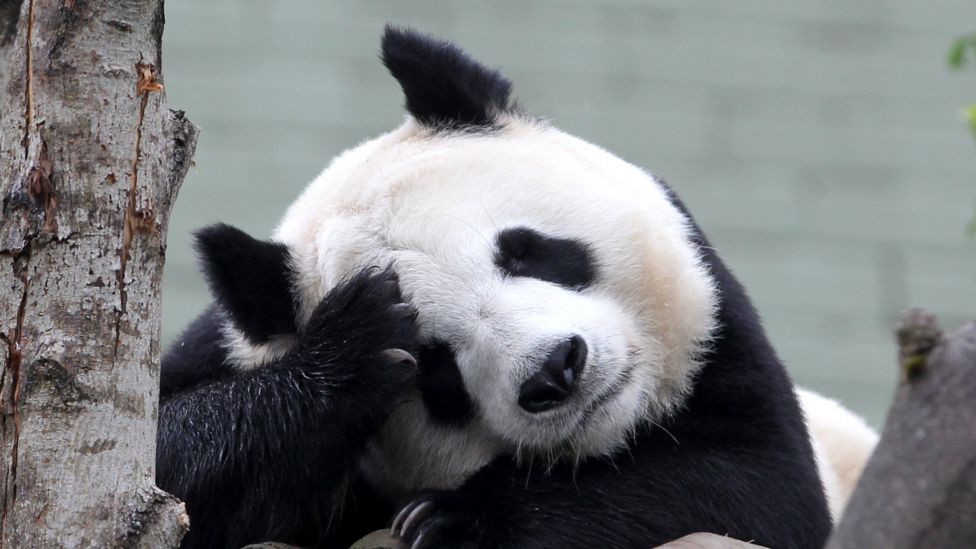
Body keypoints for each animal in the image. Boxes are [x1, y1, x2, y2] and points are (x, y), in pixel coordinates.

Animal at [157, 26, 872, 549]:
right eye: (435, 365)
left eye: (525, 251)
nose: (555, 370)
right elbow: (168, 462)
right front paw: (352, 348)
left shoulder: (723, 346)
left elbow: (755, 486)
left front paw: (452, 523)